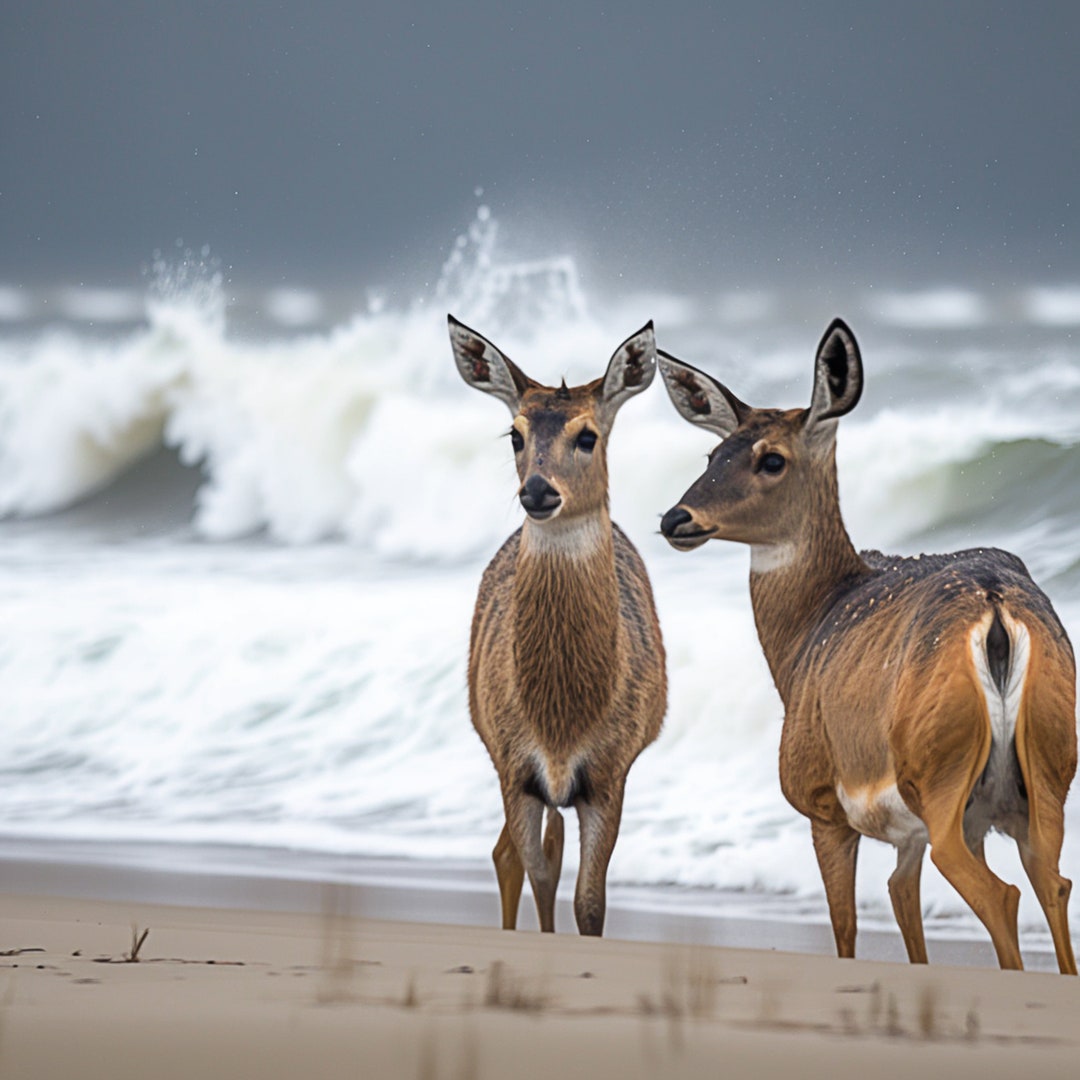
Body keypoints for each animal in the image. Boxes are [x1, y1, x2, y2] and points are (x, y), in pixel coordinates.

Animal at [448, 314, 667, 937]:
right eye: (515, 434)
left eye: (588, 435)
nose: (538, 490)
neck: (559, 720)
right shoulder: (513, 762)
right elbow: (541, 873)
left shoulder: (610, 773)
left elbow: (589, 902)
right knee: (511, 856)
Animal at [657, 318, 1077, 973]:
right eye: (712, 454)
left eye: (770, 458)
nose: (676, 519)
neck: (806, 633)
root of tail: (995, 606)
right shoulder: (912, 835)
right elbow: (904, 911)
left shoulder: (820, 799)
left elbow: (846, 924)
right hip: (1043, 774)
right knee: (1052, 883)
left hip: (940, 773)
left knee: (1000, 893)